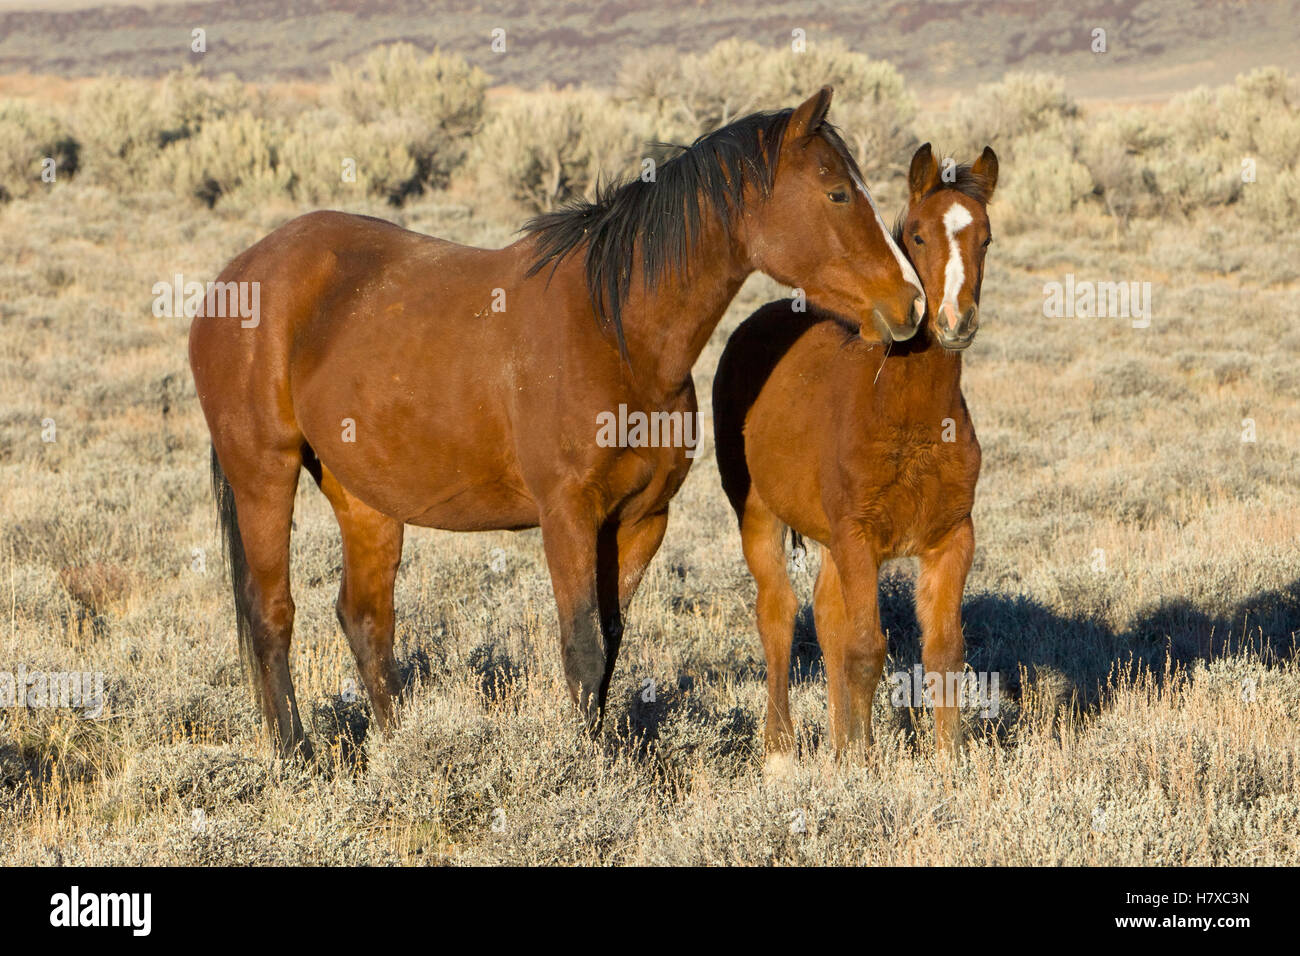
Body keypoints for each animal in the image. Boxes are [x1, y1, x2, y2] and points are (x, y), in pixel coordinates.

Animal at [189, 87, 927, 758]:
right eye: (838, 193)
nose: (912, 304)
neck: (615, 331)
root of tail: (237, 275)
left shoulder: (639, 521)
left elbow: (609, 646)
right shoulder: (567, 516)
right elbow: (582, 645)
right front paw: (585, 765)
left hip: (364, 497)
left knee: (366, 618)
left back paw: (399, 751)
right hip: (264, 474)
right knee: (271, 613)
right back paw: (295, 754)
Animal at [712, 143, 997, 763]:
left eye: (985, 237)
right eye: (917, 235)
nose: (954, 322)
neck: (907, 414)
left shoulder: (951, 538)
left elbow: (943, 654)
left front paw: (948, 763)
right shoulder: (858, 537)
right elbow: (866, 649)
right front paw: (863, 766)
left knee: (826, 616)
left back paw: (837, 742)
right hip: (760, 515)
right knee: (778, 613)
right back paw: (781, 753)